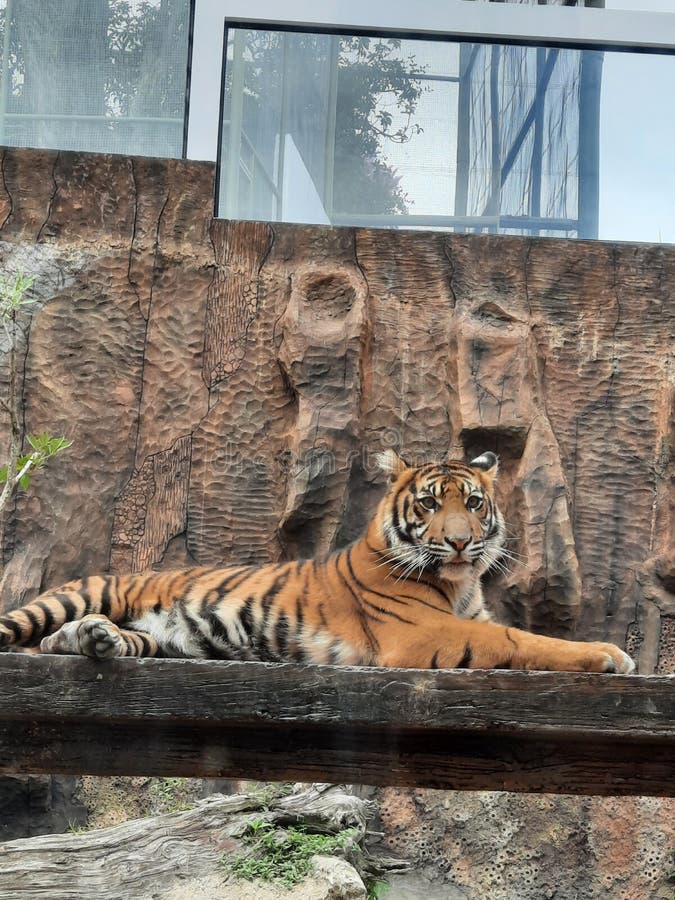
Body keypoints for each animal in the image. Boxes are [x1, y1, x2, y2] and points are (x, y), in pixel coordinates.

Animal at [0, 450, 634, 673]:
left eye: (474, 504)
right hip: (80, 593)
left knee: (63, 642)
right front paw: (609, 654)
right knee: (24, 631)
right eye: (430, 503)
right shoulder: (421, 633)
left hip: (154, 640)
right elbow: (518, 639)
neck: (458, 585)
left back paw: (96, 640)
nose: (458, 543)